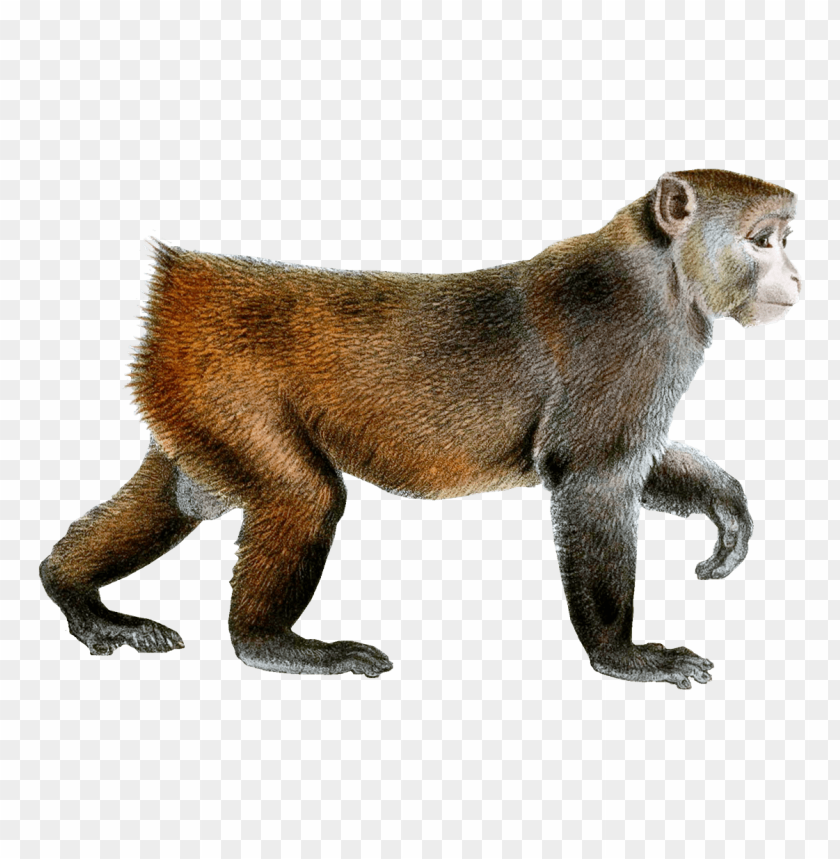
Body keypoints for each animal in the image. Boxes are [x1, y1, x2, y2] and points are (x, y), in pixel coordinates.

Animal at [39, 169, 802, 688]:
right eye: (764, 241)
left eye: (785, 240)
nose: (795, 275)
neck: (663, 269)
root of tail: (189, 281)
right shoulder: (637, 335)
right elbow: (591, 476)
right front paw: (621, 655)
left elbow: (626, 466)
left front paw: (725, 503)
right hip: (221, 383)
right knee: (303, 495)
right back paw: (269, 642)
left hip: (186, 394)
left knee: (181, 496)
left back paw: (71, 590)